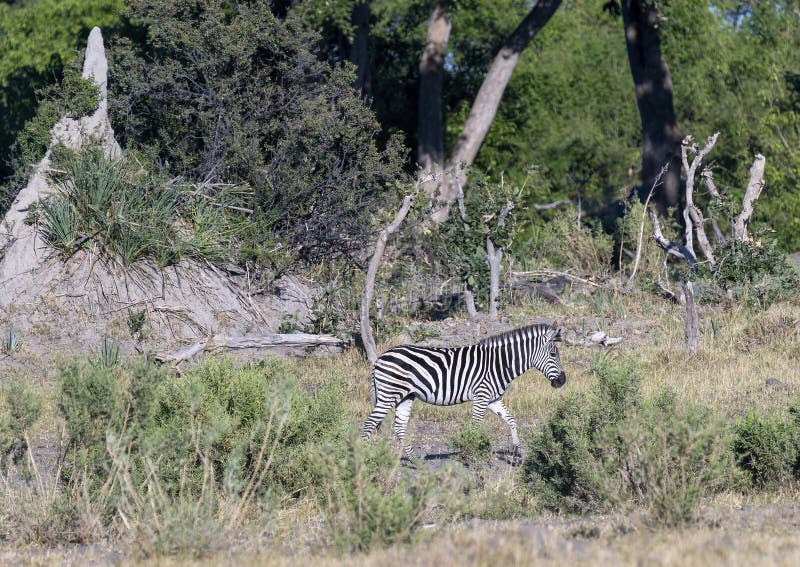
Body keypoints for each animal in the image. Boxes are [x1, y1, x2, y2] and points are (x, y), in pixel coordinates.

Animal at [362, 324, 566, 458]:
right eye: (553, 354)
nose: (563, 381)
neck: (500, 364)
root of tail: (380, 358)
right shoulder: (481, 396)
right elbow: (476, 426)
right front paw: (472, 452)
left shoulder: (493, 399)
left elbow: (511, 420)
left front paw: (517, 451)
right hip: (389, 395)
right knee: (369, 423)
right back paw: (363, 459)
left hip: (406, 396)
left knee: (399, 427)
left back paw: (414, 461)